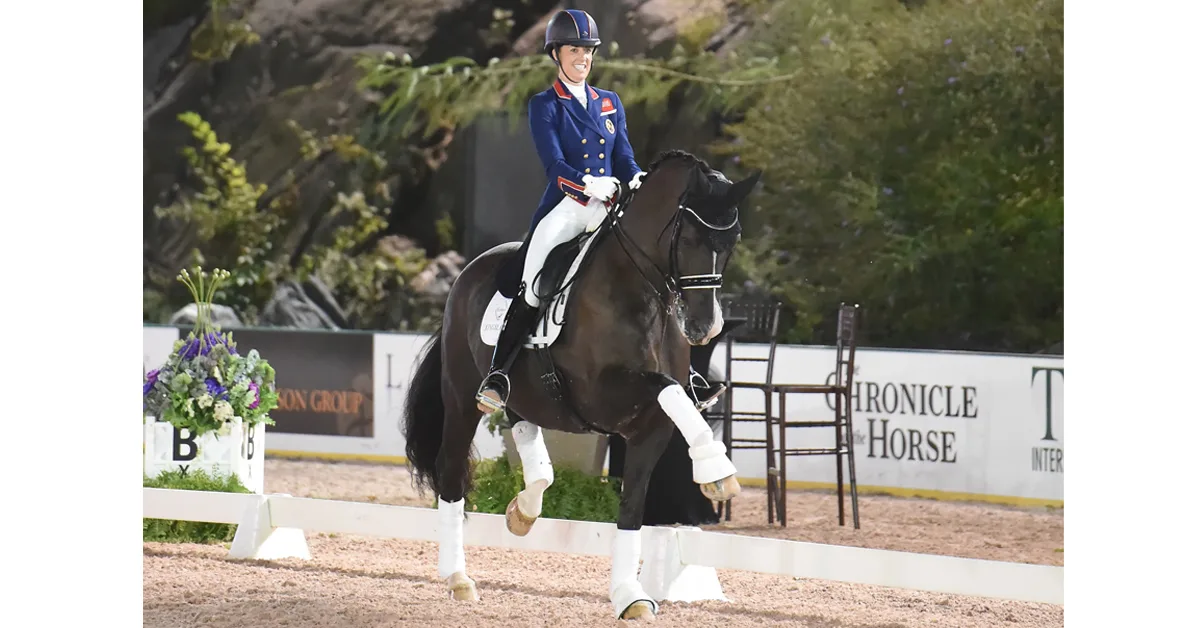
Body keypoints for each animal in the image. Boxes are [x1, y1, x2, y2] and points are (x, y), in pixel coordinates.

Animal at [400, 149, 761, 621]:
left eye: (733, 241)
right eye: (689, 241)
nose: (706, 328)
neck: (638, 291)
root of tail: (467, 272)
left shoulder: (649, 429)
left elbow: (632, 507)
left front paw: (629, 596)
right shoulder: (603, 395)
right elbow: (666, 388)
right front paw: (716, 471)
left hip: (522, 392)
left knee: (522, 425)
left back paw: (525, 508)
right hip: (461, 397)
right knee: (451, 472)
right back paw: (458, 578)